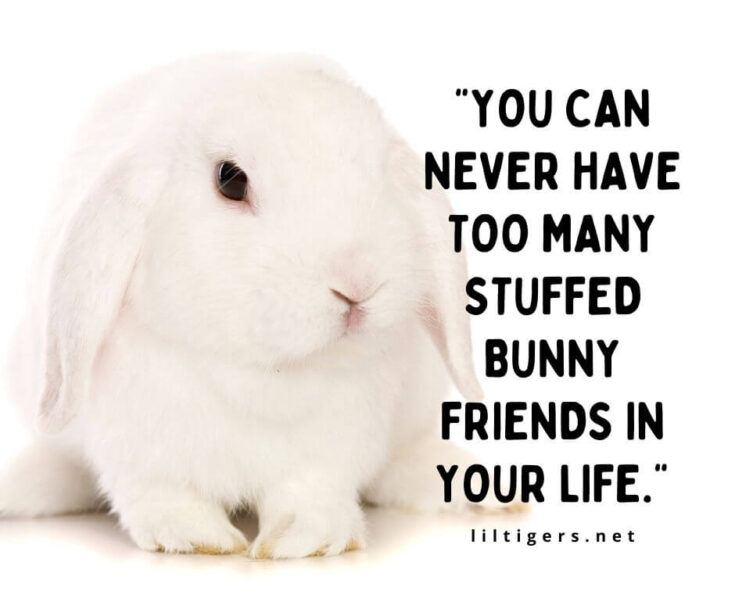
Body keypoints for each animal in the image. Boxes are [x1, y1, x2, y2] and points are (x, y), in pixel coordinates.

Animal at [0, 54, 507, 558]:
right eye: (231, 180)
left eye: (381, 173)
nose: (358, 282)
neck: (265, 375)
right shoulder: (137, 449)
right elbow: (163, 495)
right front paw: (199, 539)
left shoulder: (331, 450)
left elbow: (310, 494)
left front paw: (304, 542)